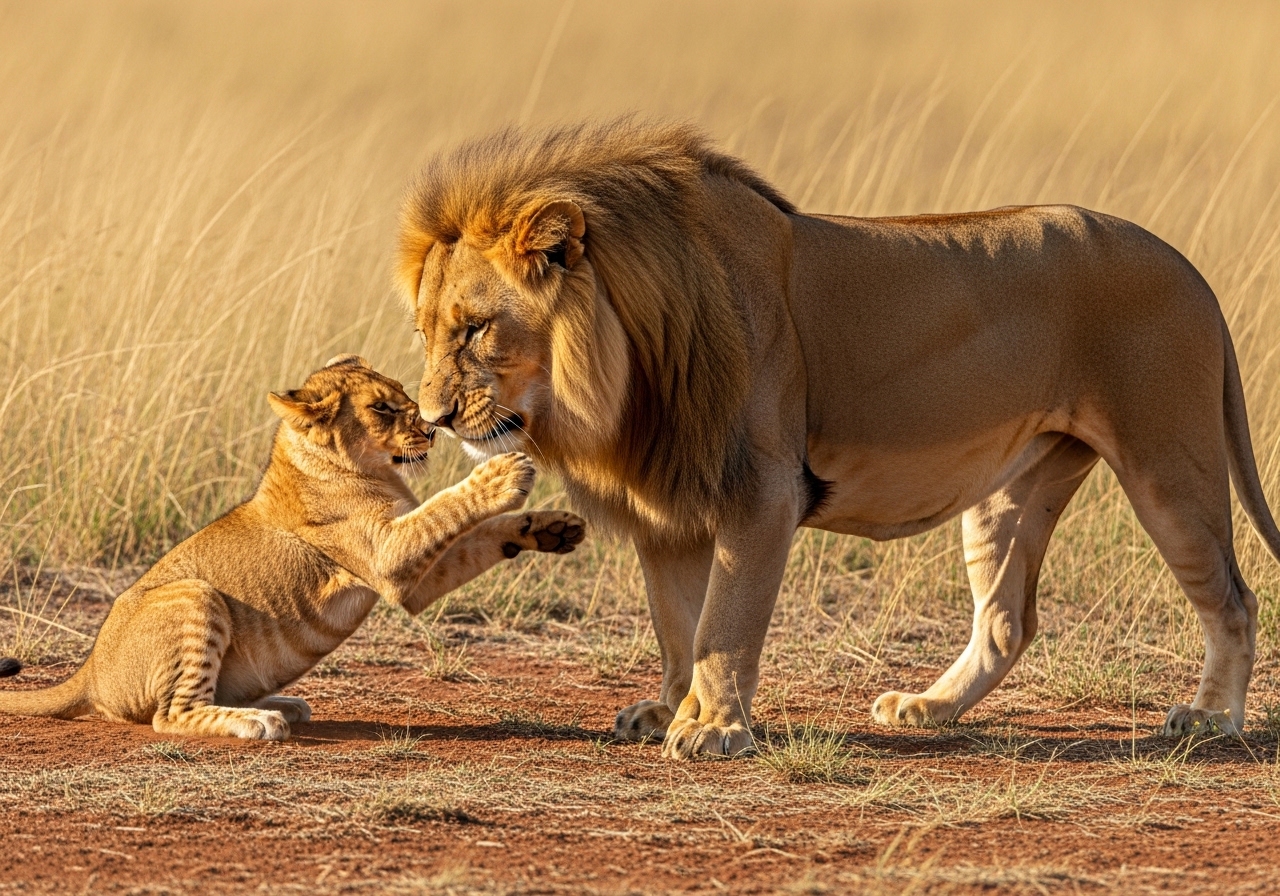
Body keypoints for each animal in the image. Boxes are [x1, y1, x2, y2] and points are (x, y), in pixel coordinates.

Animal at [0, 356, 584, 739]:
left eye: (403, 393)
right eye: (382, 408)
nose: (434, 429)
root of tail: (90, 671)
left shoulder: (417, 580)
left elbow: (479, 537)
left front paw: (553, 527)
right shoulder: (388, 556)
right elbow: (446, 507)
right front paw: (504, 474)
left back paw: (283, 703)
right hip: (194, 594)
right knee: (171, 714)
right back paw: (260, 720)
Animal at [396, 118, 1280, 759]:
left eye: (476, 329)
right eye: (427, 331)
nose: (434, 420)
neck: (629, 362)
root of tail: (1188, 267)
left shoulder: (761, 489)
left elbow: (724, 624)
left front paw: (712, 728)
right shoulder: (667, 502)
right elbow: (677, 622)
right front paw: (671, 707)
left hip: (1169, 461)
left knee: (1233, 598)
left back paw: (1211, 721)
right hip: (1012, 488)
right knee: (1006, 621)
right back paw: (927, 707)